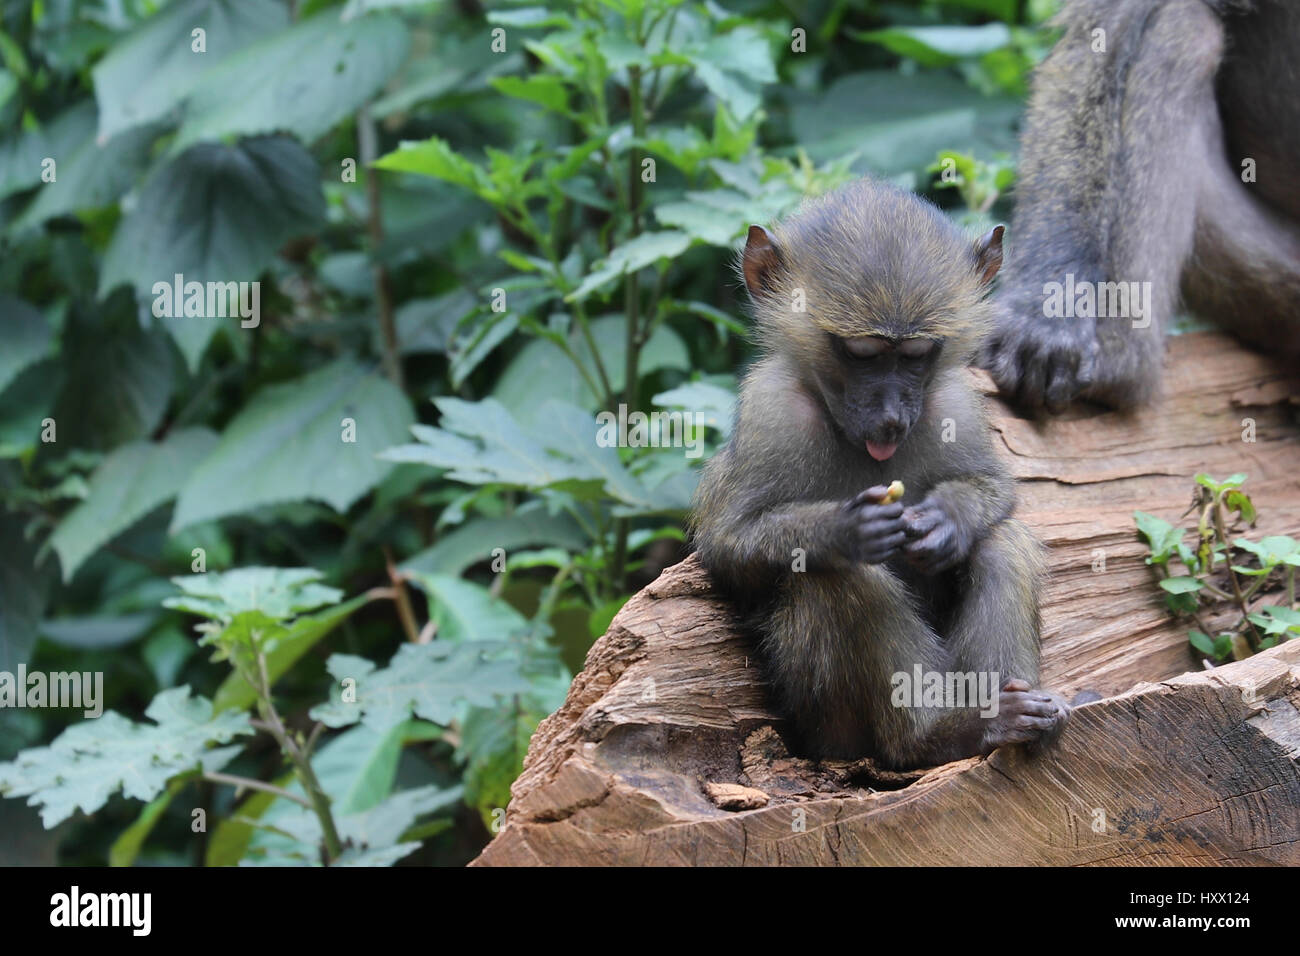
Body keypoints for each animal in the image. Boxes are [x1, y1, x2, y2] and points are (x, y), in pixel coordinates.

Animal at [691, 179, 1071, 770]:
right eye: (862, 353)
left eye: (916, 354)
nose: (891, 418)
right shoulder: (771, 410)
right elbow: (728, 546)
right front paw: (843, 529)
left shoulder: (953, 402)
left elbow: (995, 491)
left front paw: (948, 521)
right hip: (831, 732)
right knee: (838, 577)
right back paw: (934, 737)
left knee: (1000, 543)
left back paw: (1007, 716)